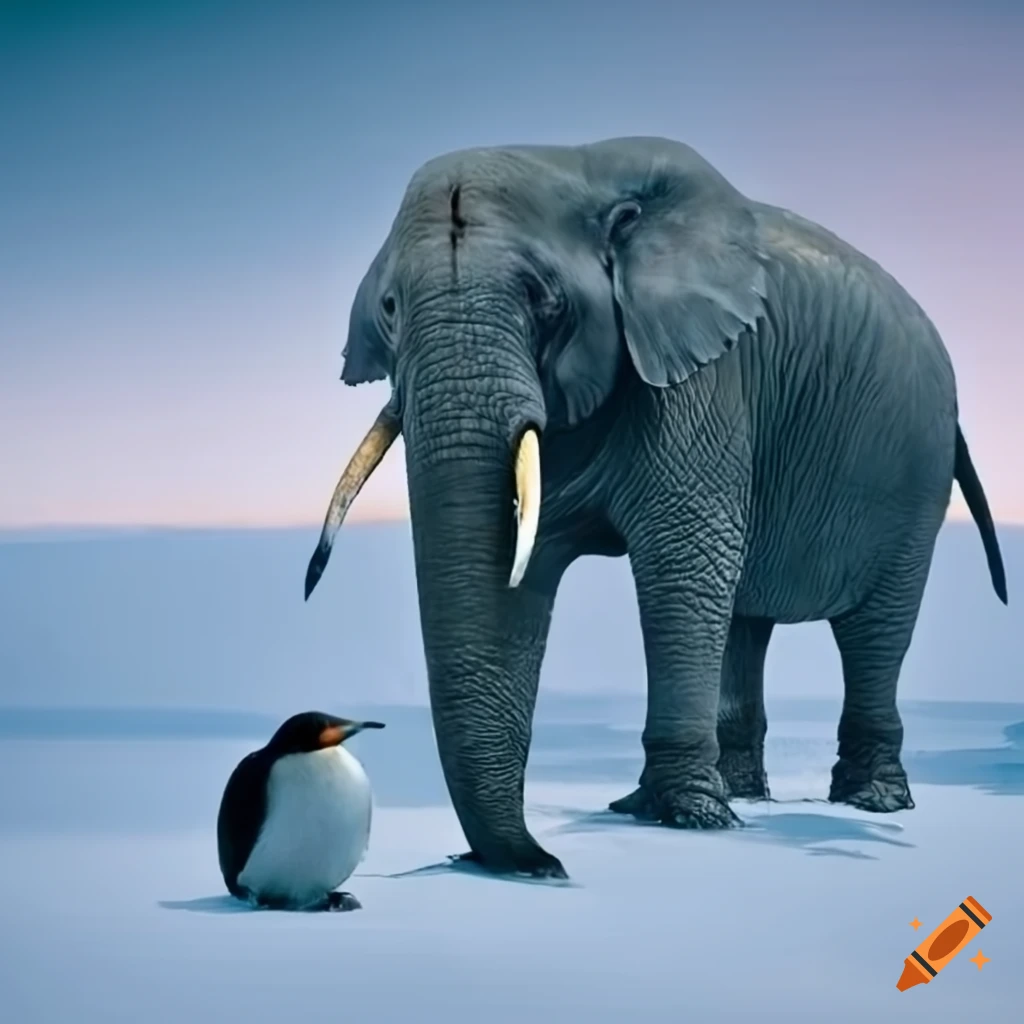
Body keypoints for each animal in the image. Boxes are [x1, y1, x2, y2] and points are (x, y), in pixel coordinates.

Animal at [304, 136, 1007, 880]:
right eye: (389, 307)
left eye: (543, 299)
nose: (546, 865)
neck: (575, 166)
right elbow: (526, 577)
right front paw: (671, 810)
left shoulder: (703, 379)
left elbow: (683, 561)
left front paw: (687, 818)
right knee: (746, 620)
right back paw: (746, 793)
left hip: (914, 470)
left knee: (875, 626)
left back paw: (870, 802)